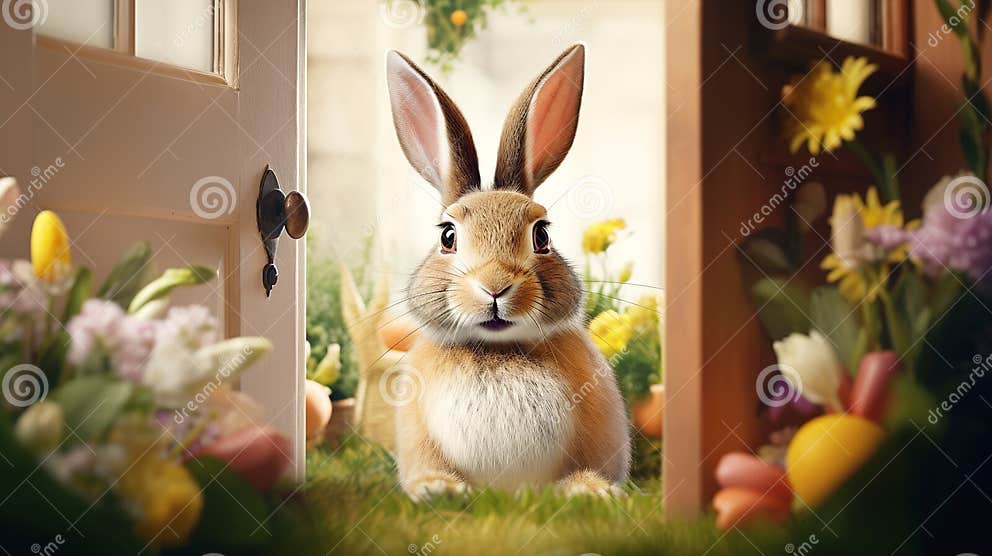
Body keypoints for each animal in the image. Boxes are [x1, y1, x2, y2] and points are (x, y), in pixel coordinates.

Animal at [385, 43, 631, 501]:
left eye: (542, 235)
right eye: (448, 236)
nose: (495, 286)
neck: (498, 348)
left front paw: (590, 490)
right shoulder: (415, 427)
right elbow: (426, 464)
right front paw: (437, 488)